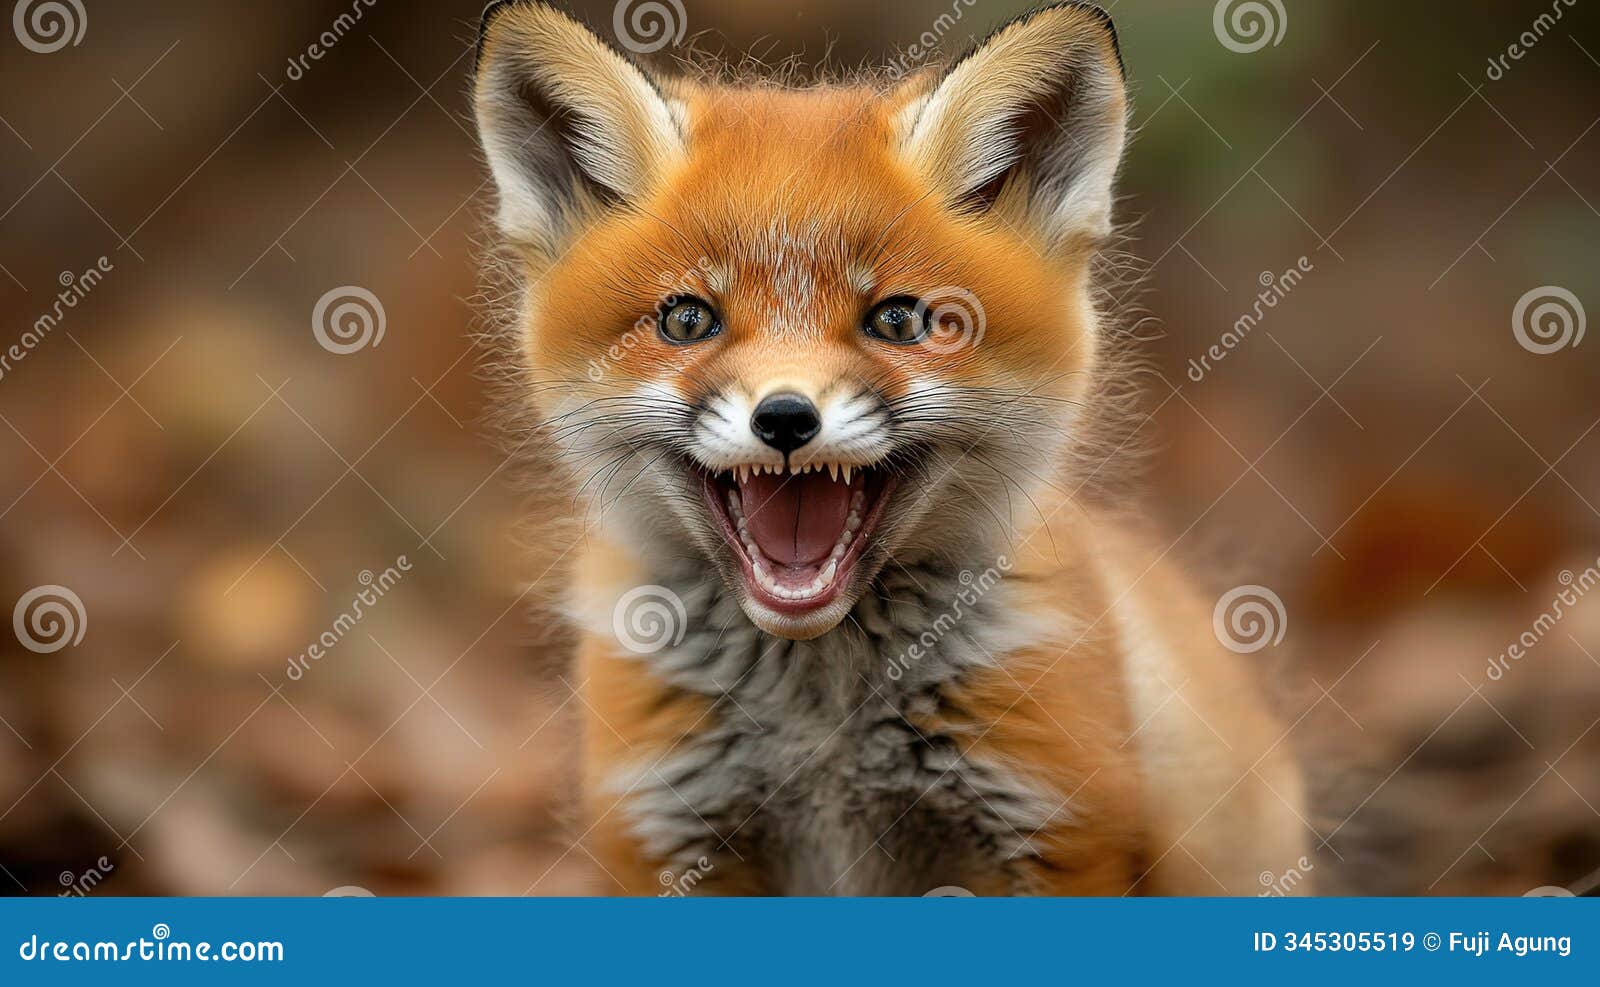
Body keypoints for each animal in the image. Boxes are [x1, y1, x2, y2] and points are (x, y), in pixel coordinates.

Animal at [472, 0, 1310, 895]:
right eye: (688, 319)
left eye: (899, 320)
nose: (786, 418)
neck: (822, 723)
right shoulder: (665, 833)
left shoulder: (1059, 827)